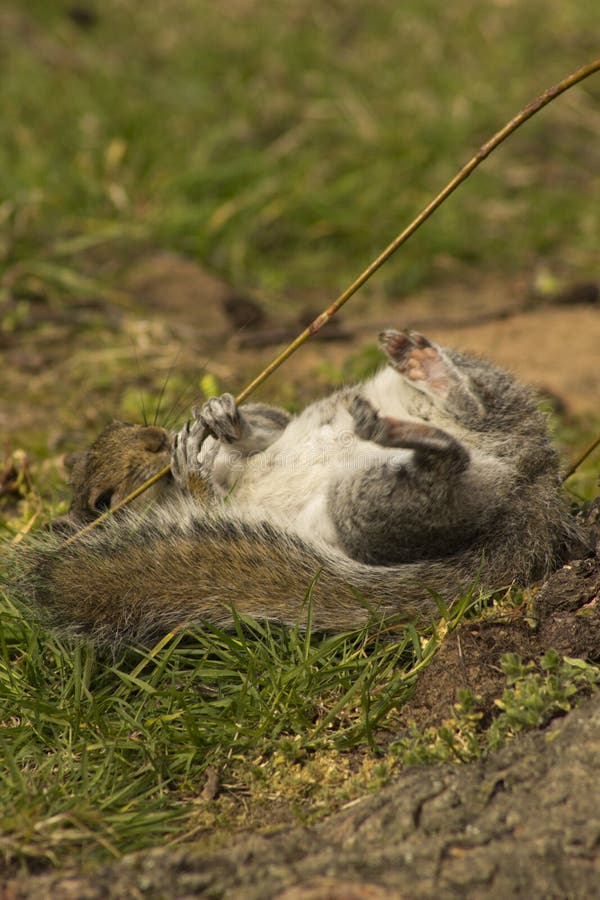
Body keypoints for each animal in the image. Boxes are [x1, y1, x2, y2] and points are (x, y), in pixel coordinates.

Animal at [11, 329, 585, 646]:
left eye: (118, 424)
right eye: (102, 502)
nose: (155, 439)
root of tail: (531, 480)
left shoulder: (271, 425)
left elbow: (266, 427)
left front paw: (222, 416)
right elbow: (208, 498)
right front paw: (193, 470)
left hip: (488, 396)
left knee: (473, 404)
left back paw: (423, 368)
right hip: (368, 505)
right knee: (449, 460)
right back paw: (407, 427)